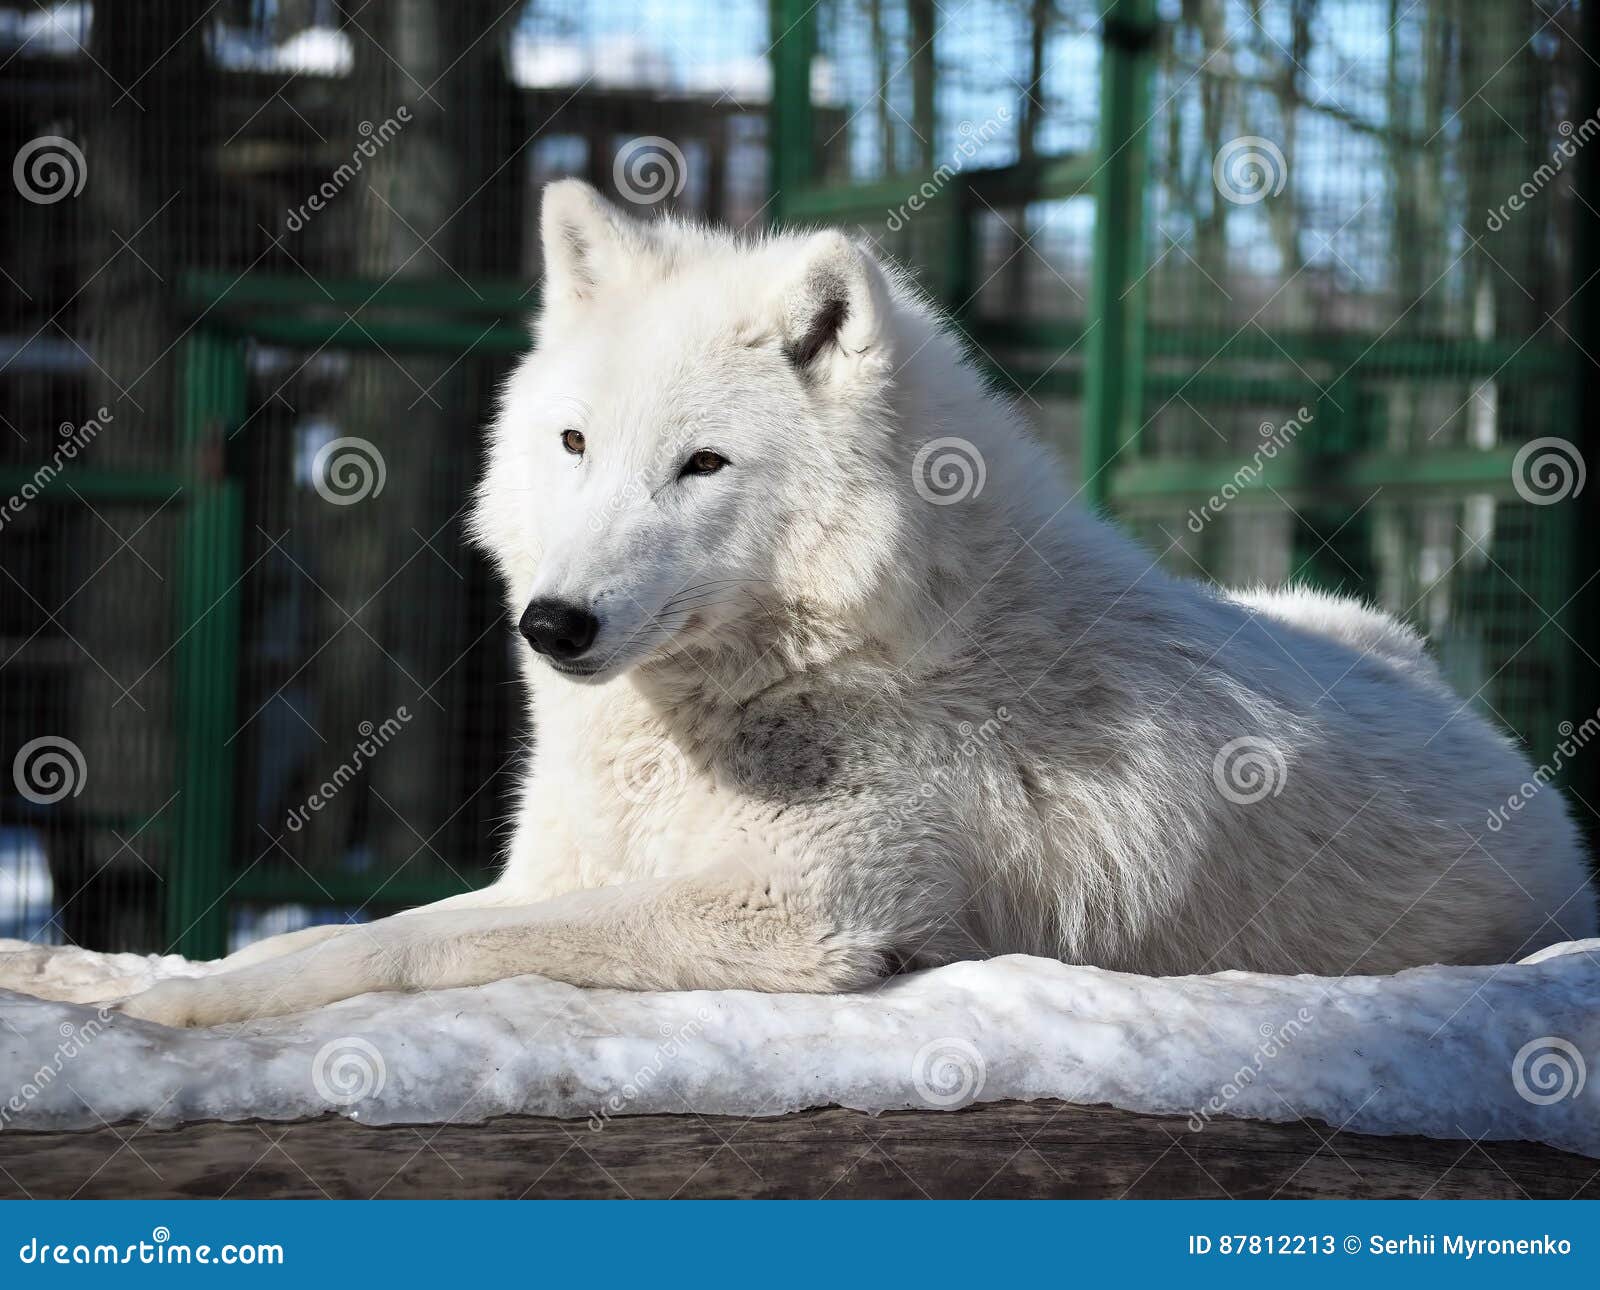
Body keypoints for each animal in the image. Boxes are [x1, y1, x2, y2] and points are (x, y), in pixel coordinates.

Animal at [13, 179, 1594, 1027]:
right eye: (574, 444)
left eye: (701, 465)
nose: (552, 625)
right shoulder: (563, 872)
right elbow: (339, 931)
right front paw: (79, 974)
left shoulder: (797, 916)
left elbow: (400, 942)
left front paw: (187, 1004)